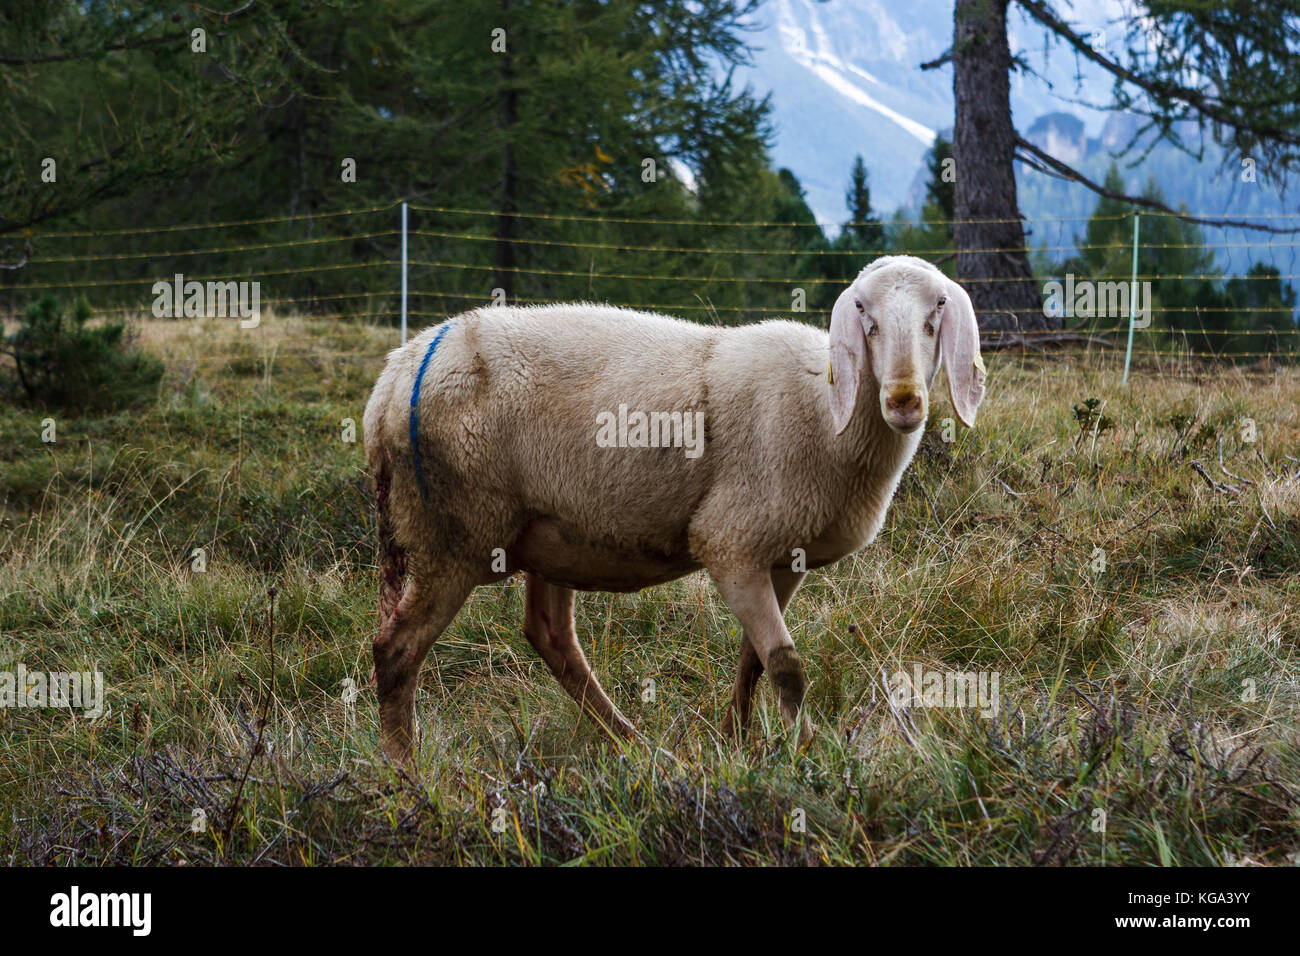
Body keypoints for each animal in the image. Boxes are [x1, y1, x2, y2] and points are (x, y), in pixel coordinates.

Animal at [362, 255, 986, 760]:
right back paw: (406, 772)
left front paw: (738, 744)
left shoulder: (784, 556)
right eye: (863, 312)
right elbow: (786, 665)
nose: (903, 400)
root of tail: (398, 372)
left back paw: (634, 744)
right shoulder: (730, 541)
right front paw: (811, 758)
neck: (824, 404)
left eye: (938, 310)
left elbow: (754, 659)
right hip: (451, 533)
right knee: (396, 651)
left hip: (552, 536)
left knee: (550, 635)